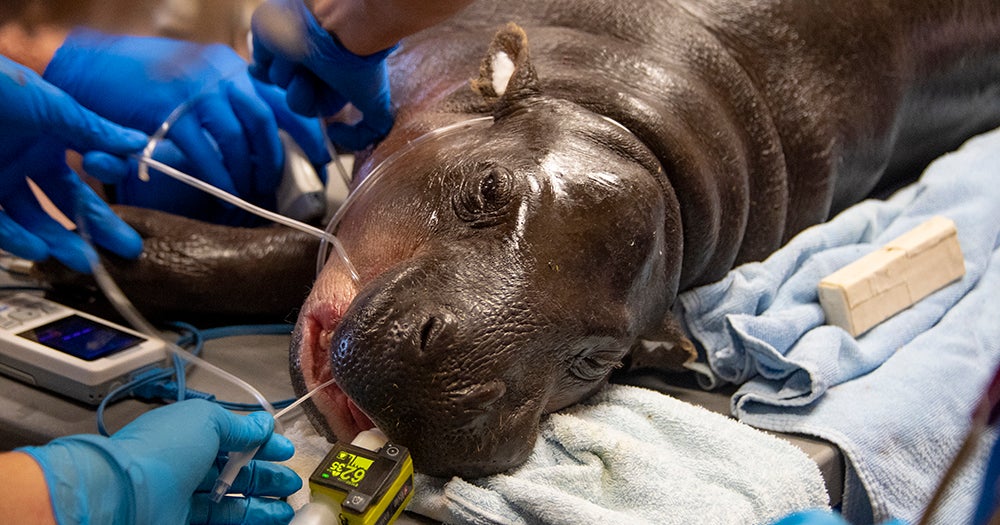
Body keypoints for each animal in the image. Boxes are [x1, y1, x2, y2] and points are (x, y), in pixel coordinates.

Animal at [52, 0, 1000, 478]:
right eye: (488, 187)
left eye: (598, 360)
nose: (454, 392)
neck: (626, 125)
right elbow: (298, 241)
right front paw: (94, 231)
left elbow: (298, 250)